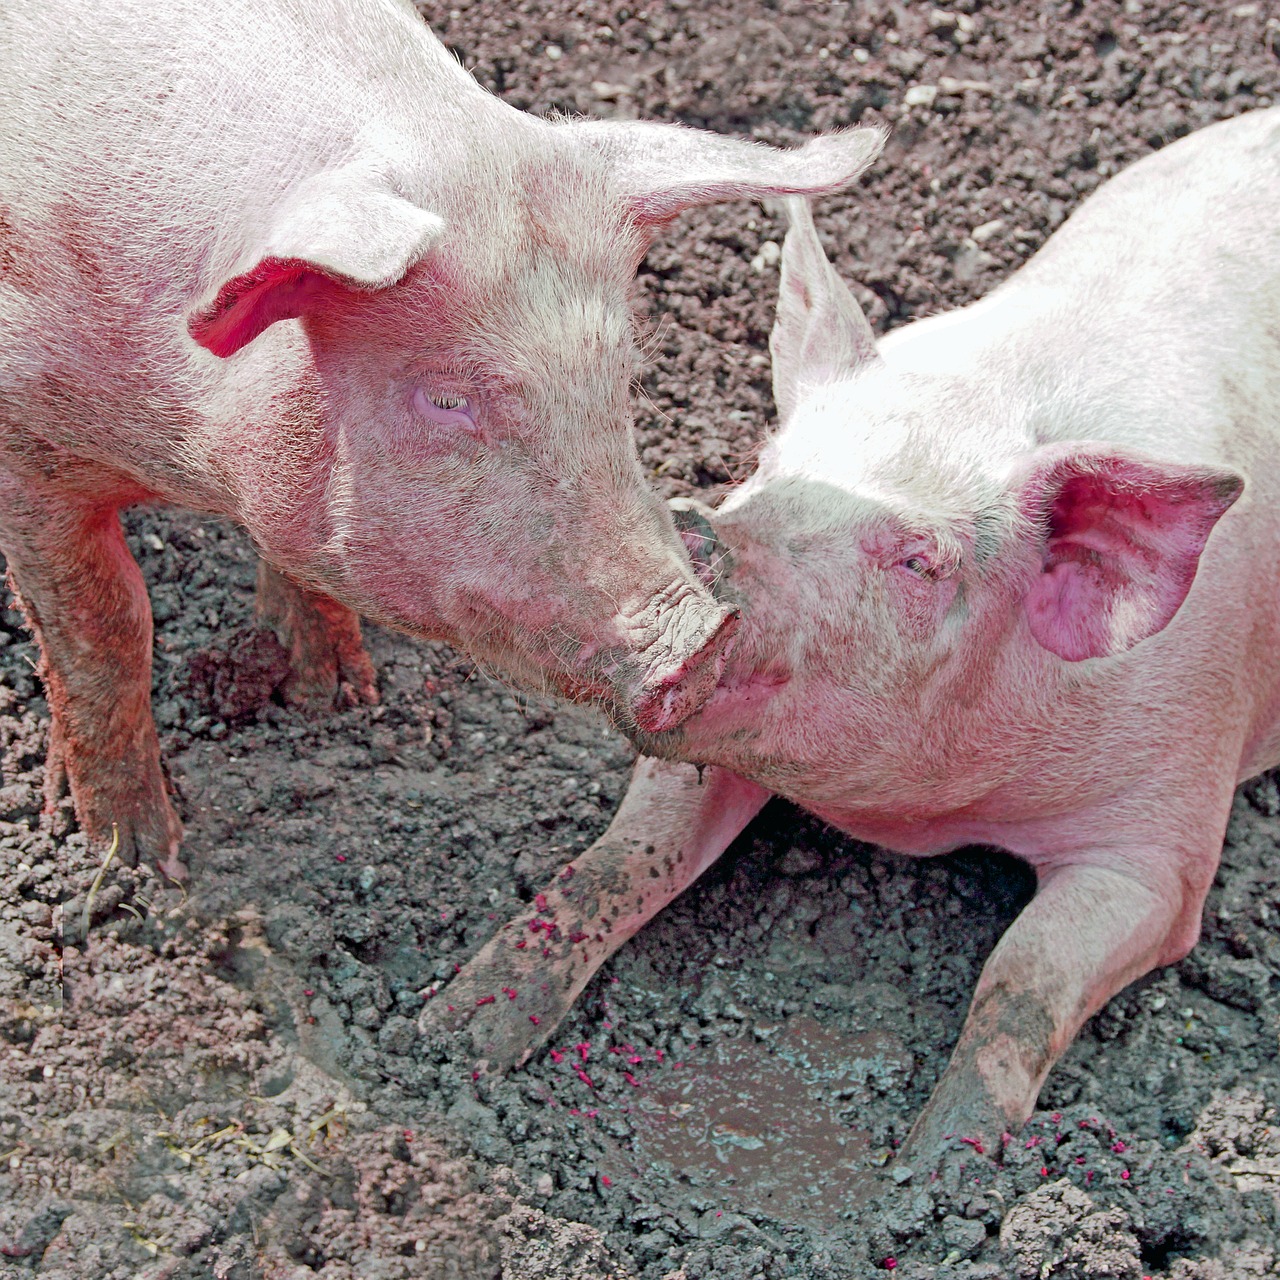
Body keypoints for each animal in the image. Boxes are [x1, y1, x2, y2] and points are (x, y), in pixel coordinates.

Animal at [0, 0, 885, 873]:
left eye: (621, 376)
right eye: (448, 398)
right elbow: (106, 627)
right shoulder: (26, 451)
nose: (703, 639)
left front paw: (338, 696)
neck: (187, 454)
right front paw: (139, 860)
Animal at [425, 107, 1280, 1167]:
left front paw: (934, 1167)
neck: (927, 813)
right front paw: (454, 1033)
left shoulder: (1169, 830)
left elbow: (1024, 976)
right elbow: (630, 854)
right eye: (766, 465)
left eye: (920, 561)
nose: (699, 533)